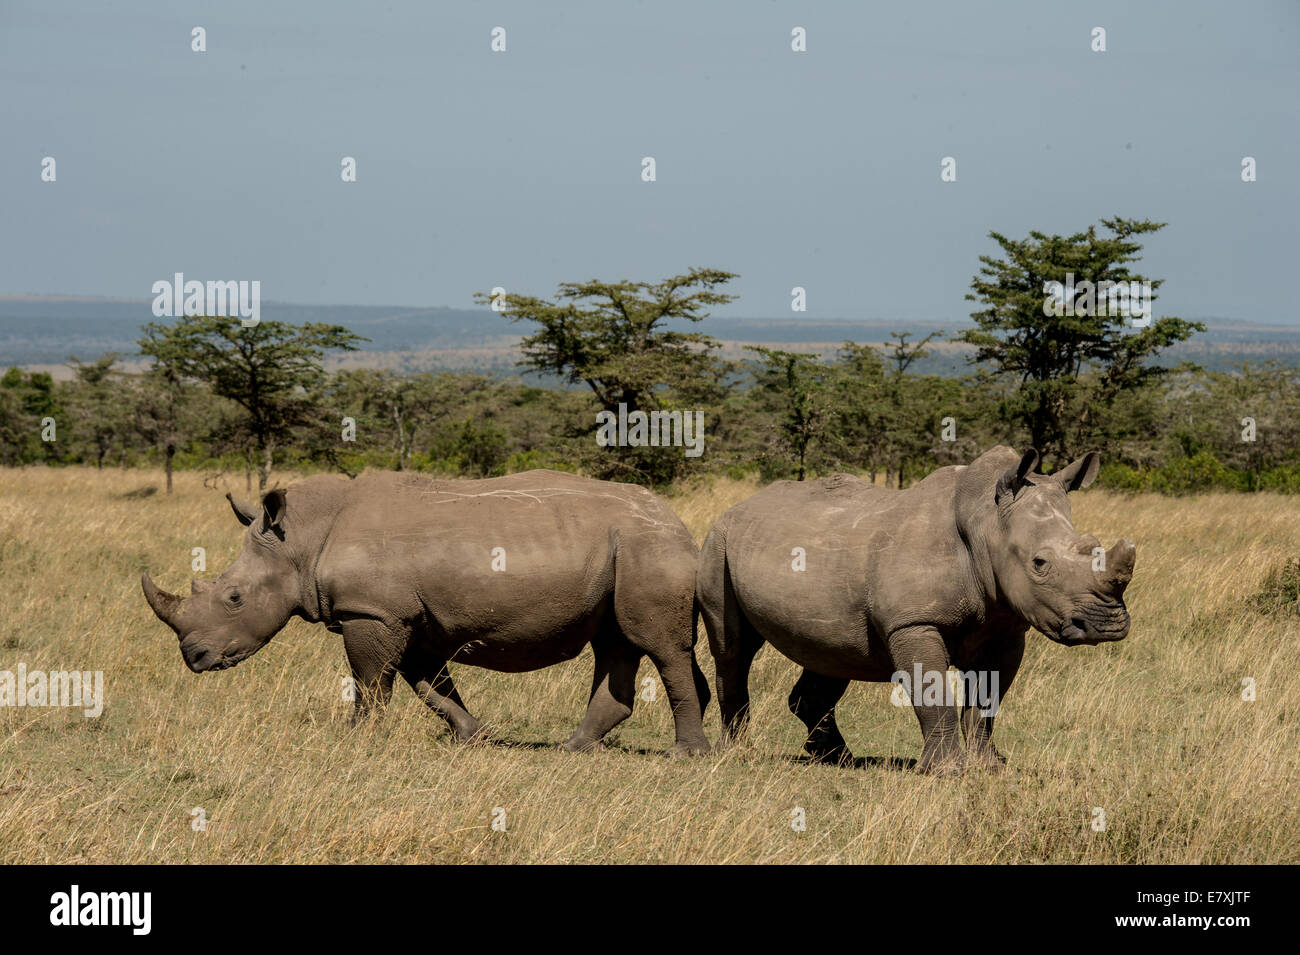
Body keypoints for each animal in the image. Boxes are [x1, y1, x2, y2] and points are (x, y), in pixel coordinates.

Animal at [142, 470, 712, 754]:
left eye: (234, 598)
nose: (194, 657)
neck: (301, 540)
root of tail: (678, 520)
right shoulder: (408, 617)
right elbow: (430, 684)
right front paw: (474, 737)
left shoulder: (371, 612)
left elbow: (371, 680)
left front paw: (358, 740)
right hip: (627, 549)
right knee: (615, 641)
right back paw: (573, 749)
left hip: (647, 546)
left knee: (659, 645)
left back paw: (688, 755)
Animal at [697, 446, 1135, 773]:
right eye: (1039, 564)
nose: (1108, 625)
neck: (986, 521)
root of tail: (738, 506)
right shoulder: (914, 622)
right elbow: (934, 692)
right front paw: (948, 772)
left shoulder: (1008, 626)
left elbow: (986, 702)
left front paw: (989, 768)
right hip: (718, 540)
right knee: (733, 649)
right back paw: (737, 753)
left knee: (830, 651)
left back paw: (840, 759)